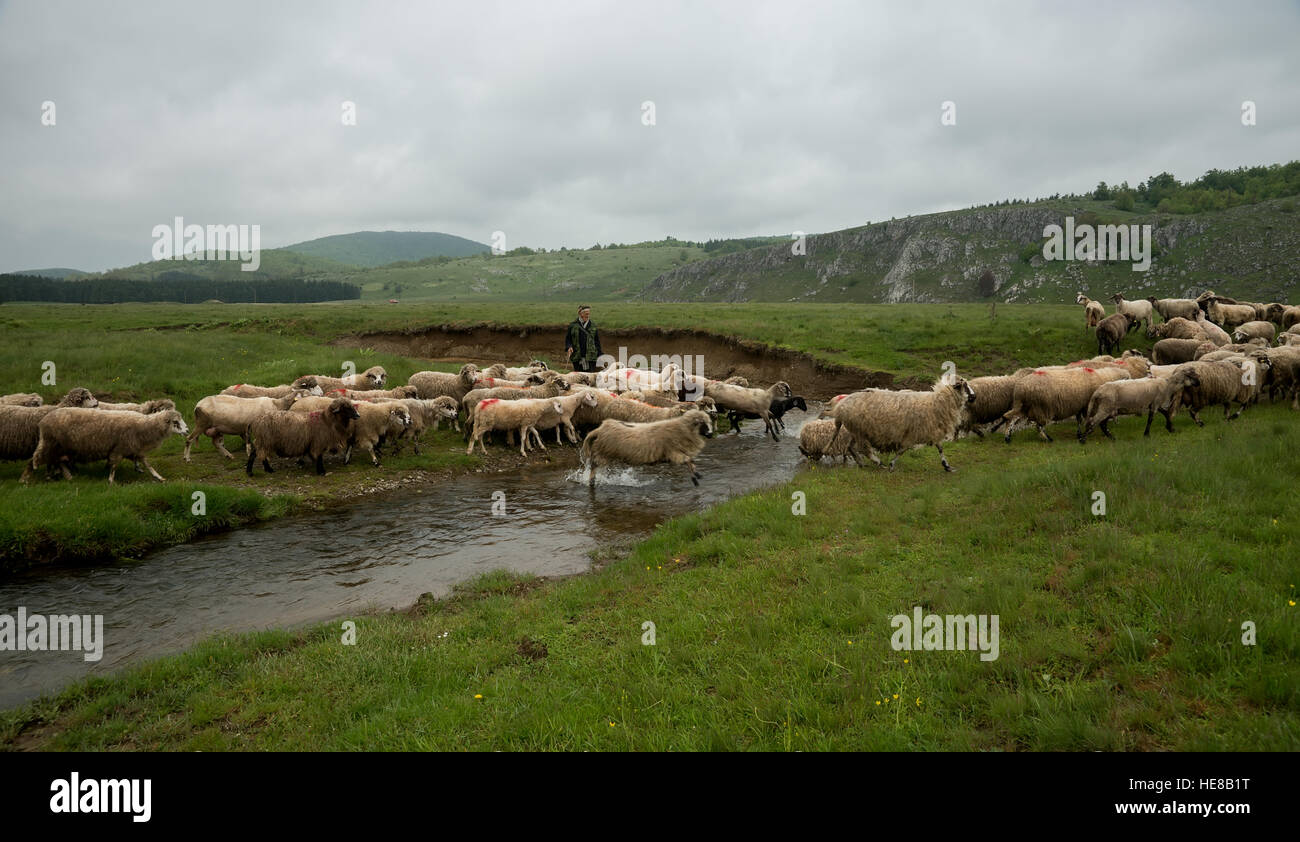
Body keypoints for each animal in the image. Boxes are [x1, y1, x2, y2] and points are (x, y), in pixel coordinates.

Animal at [21, 408, 188, 484]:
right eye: (175, 422)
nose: (187, 431)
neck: (145, 426)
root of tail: (43, 420)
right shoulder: (119, 449)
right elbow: (114, 466)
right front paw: (111, 481)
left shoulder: (134, 449)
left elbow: (148, 464)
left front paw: (158, 477)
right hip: (50, 445)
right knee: (33, 460)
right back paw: (24, 479)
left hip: (59, 448)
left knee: (58, 462)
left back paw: (68, 476)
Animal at [580, 409, 715, 486]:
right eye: (703, 423)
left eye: (709, 422)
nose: (711, 434)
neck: (682, 429)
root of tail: (600, 428)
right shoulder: (673, 453)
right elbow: (687, 460)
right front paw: (695, 478)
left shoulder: (675, 454)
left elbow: (691, 461)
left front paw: (697, 475)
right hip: (602, 453)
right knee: (594, 466)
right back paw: (591, 482)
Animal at [831, 377, 975, 471]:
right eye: (964, 386)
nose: (974, 397)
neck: (938, 403)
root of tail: (841, 407)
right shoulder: (913, 434)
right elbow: (902, 450)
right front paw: (891, 465)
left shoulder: (931, 430)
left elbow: (940, 448)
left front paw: (947, 466)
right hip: (859, 431)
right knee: (863, 449)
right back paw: (879, 463)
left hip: (855, 431)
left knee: (851, 447)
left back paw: (861, 463)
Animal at [1000, 365, 1136, 443]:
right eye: (1128, 379)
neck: (1103, 379)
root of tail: (1021, 388)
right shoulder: (1087, 406)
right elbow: (1088, 420)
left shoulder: (1080, 405)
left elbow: (1079, 420)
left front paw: (1079, 434)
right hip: (1041, 407)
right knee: (1038, 426)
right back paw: (1048, 439)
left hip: (1025, 406)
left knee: (1012, 419)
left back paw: (1007, 437)